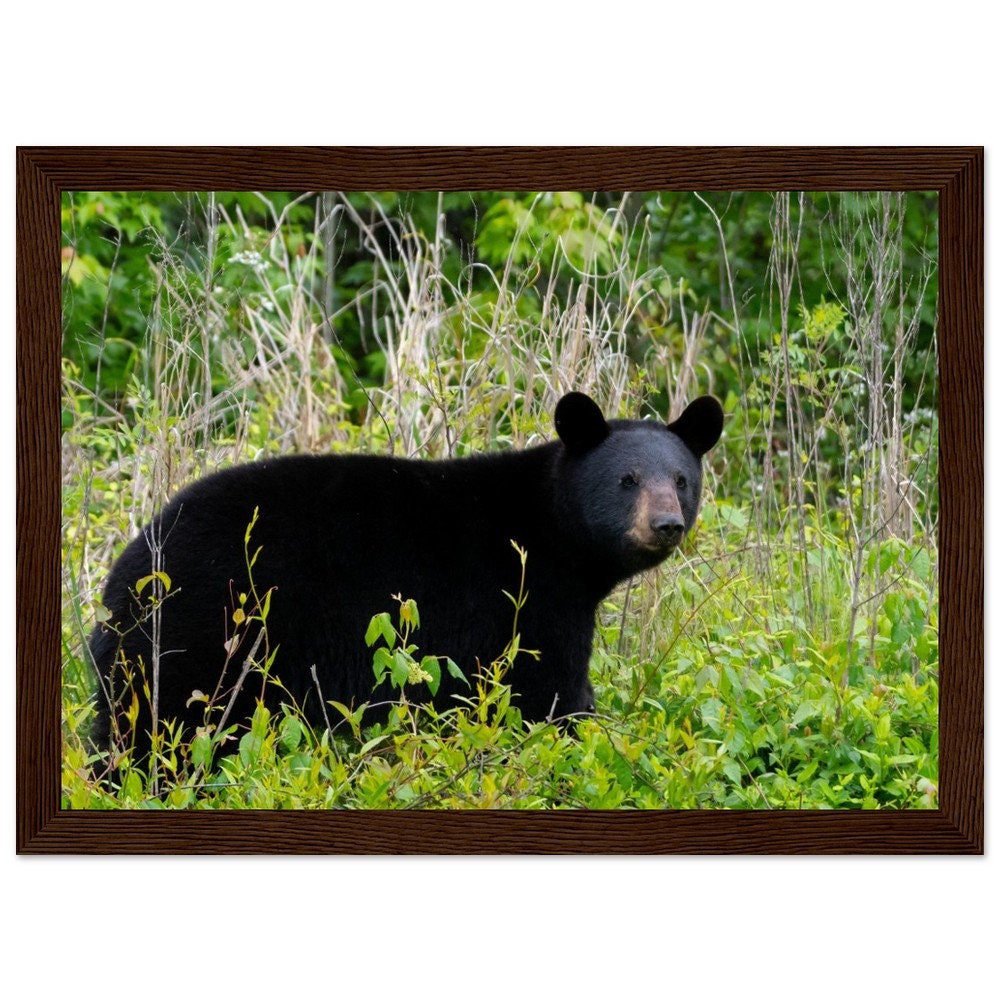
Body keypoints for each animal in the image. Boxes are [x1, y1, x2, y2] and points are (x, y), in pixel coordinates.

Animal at [88, 391, 724, 769]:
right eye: (628, 479)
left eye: (681, 479)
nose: (666, 524)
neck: (554, 531)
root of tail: (123, 578)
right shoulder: (526, 597)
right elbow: (548, 691)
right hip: (202, 631)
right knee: (160, 723)